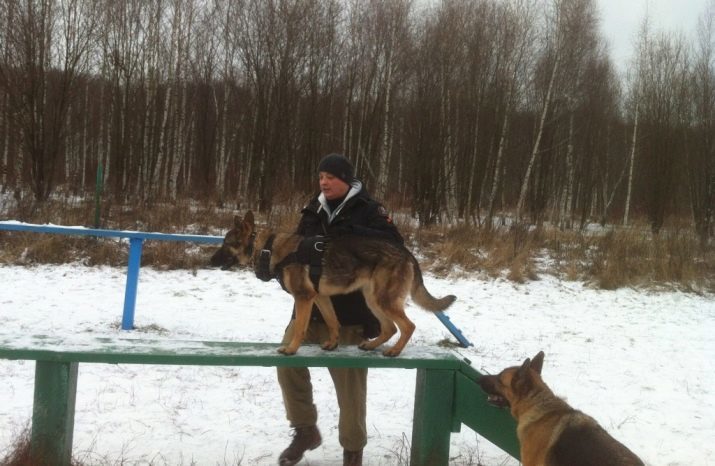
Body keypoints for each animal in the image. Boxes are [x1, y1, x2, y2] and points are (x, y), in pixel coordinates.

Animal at [210, 211, 456, 356]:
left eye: (226, 244)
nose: (210, 261)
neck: (267, 249)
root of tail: (408, 254)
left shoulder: (304, 298)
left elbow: (300, 328)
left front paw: (291, 349)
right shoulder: (320, 298)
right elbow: (332, 322)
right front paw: (332, 344)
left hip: (383, 301)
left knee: (408, 326)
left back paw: (394, 351)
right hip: (373, 300)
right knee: (390, 328)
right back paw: (371, 345)